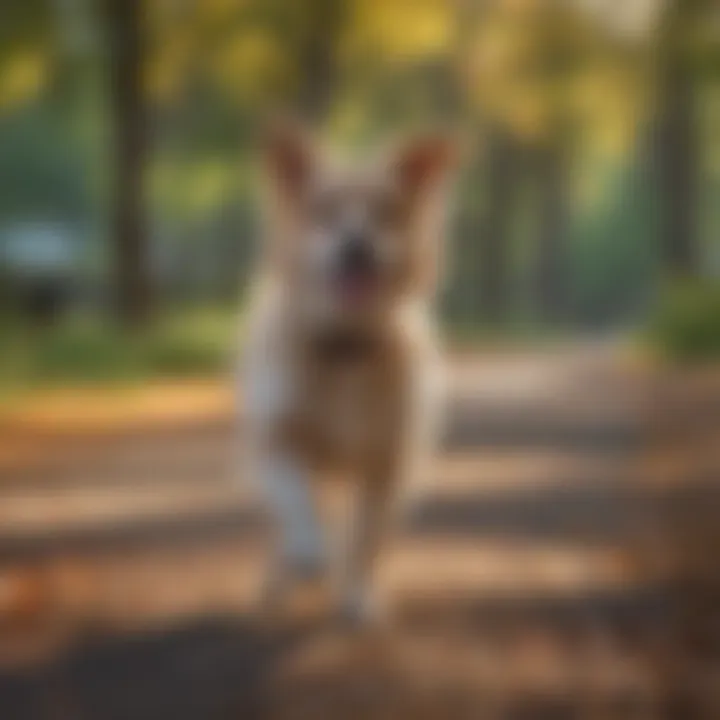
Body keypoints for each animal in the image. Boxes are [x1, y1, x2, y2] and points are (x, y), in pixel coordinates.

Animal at [242, 121, 456, 620]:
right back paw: (283, 577)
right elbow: (296, 503)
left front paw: (357, 597)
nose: (357, 245)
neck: (345, 349)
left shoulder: (387, 463)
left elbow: (366, 540)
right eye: (323, 212)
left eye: (386, 214)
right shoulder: (276, 440)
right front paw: (308, 555)